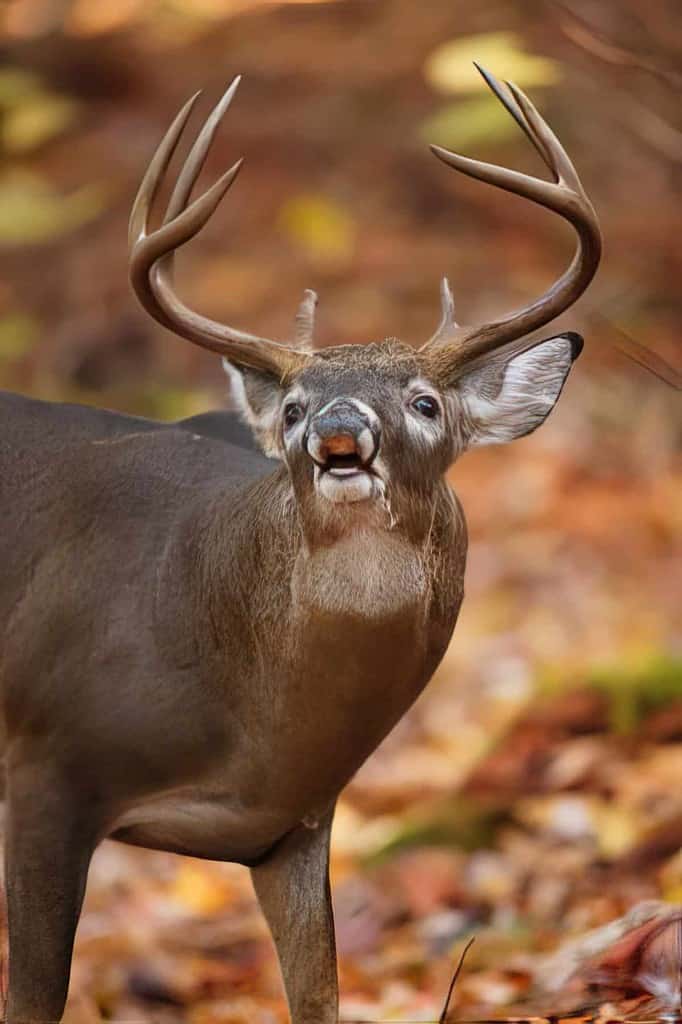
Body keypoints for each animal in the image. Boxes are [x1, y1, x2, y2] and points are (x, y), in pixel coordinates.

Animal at [0, 65, 601, 1023]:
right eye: (291, 406)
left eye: (425, 401)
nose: (337, 429)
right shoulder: (46, 762)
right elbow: (33, 1000)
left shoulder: (298, 821)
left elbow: (319, 997)